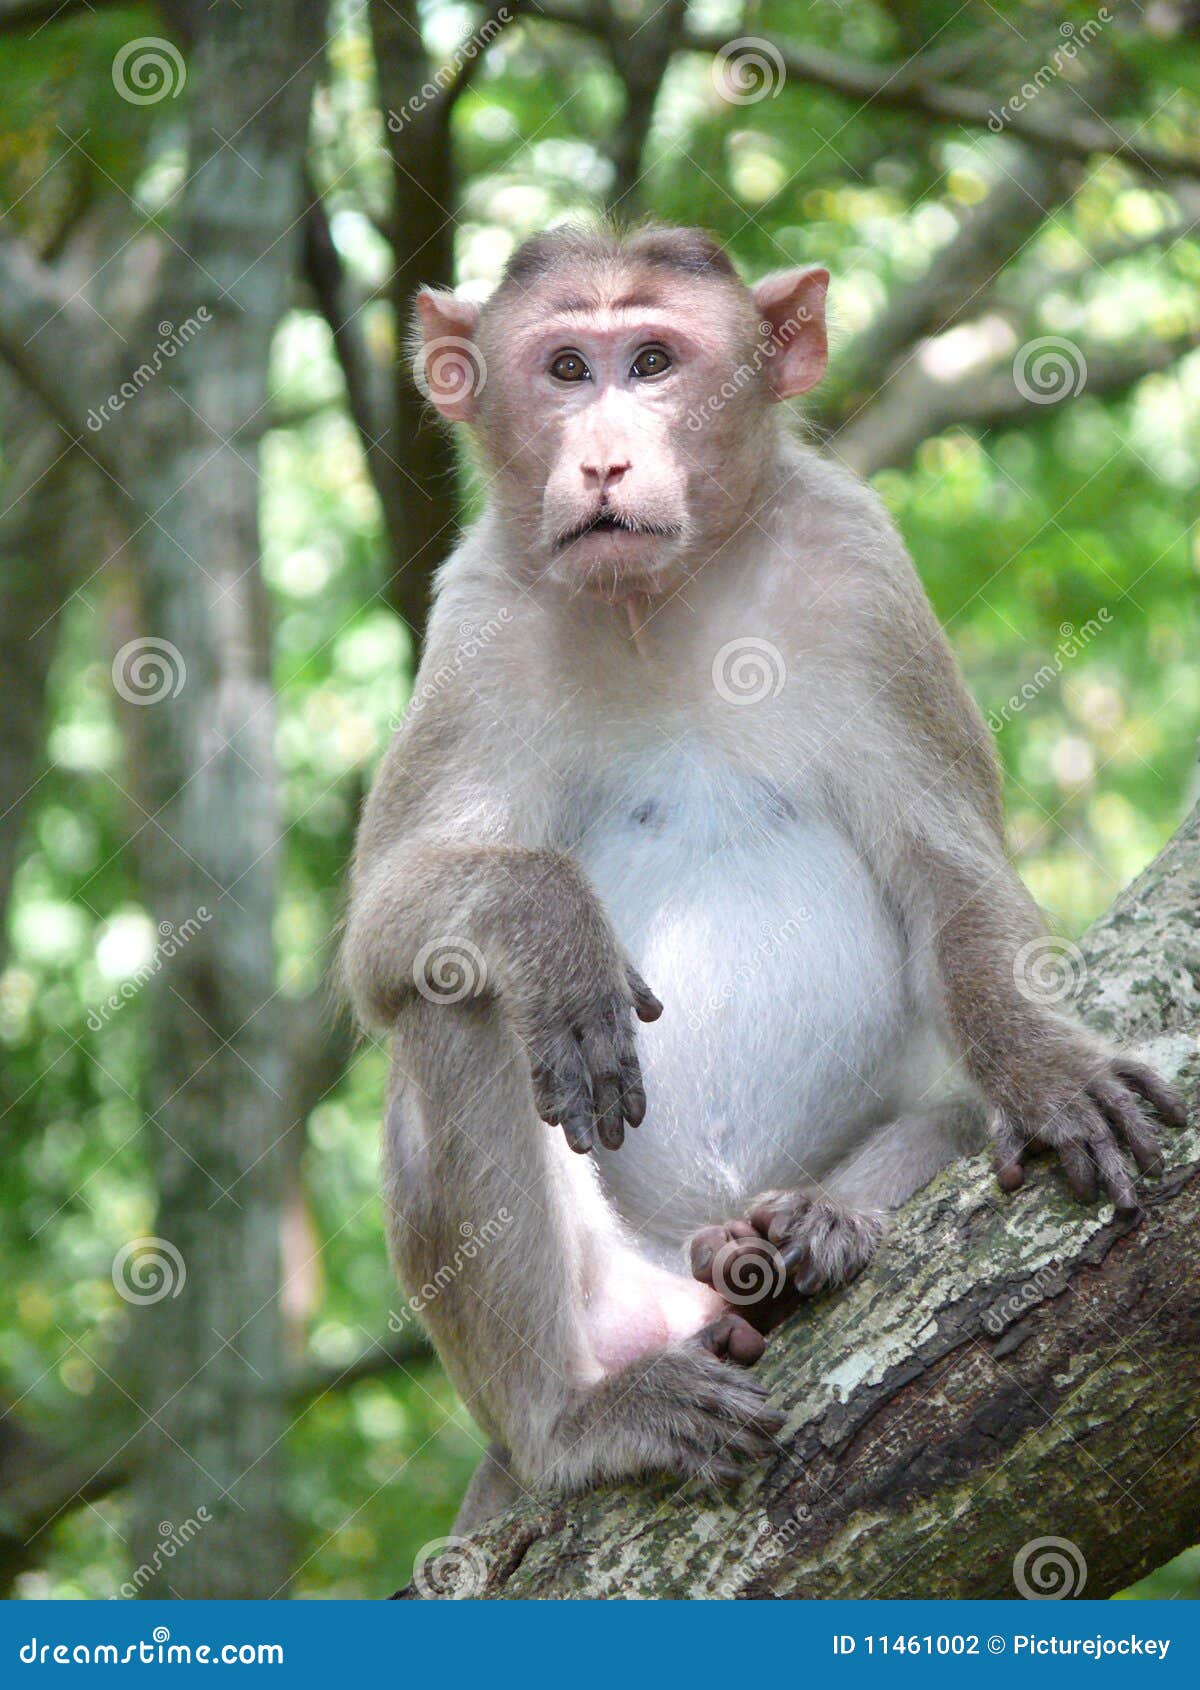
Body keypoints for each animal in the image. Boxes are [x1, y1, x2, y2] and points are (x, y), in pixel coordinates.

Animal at [340, 223, 1186, 1532]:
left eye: (651, 361)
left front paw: (1045, 1074)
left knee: (947, 1102)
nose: (604, 459)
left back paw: (804, 1237)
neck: (660, 600)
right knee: (460, 1001)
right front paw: (555, 931)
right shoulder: (475, 625)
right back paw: (573, 1420)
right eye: (566, 370)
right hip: (617, 1300)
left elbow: (952, 874)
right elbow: (386, 930)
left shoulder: (863, 566)